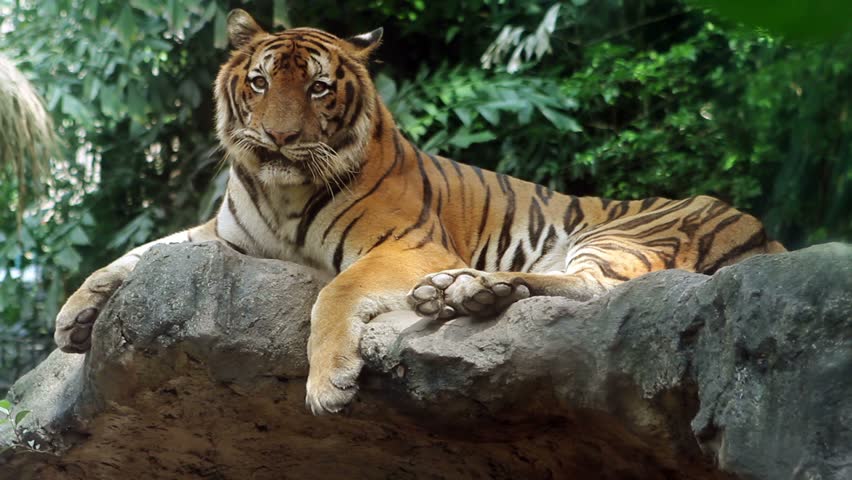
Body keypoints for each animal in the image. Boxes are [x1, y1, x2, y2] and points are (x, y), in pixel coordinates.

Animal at [54, 9, 785, 415]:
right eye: (259, 82)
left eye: (317, 89)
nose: (279, 139)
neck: (281, 189)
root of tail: (764, 233)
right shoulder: (224, 237)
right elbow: (144, 253)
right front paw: (73, 316)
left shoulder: (407, 244)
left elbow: (336, 292)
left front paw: (328, 383)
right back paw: (460, 296)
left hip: (619, 232)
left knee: (597, 286)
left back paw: (463, 291)